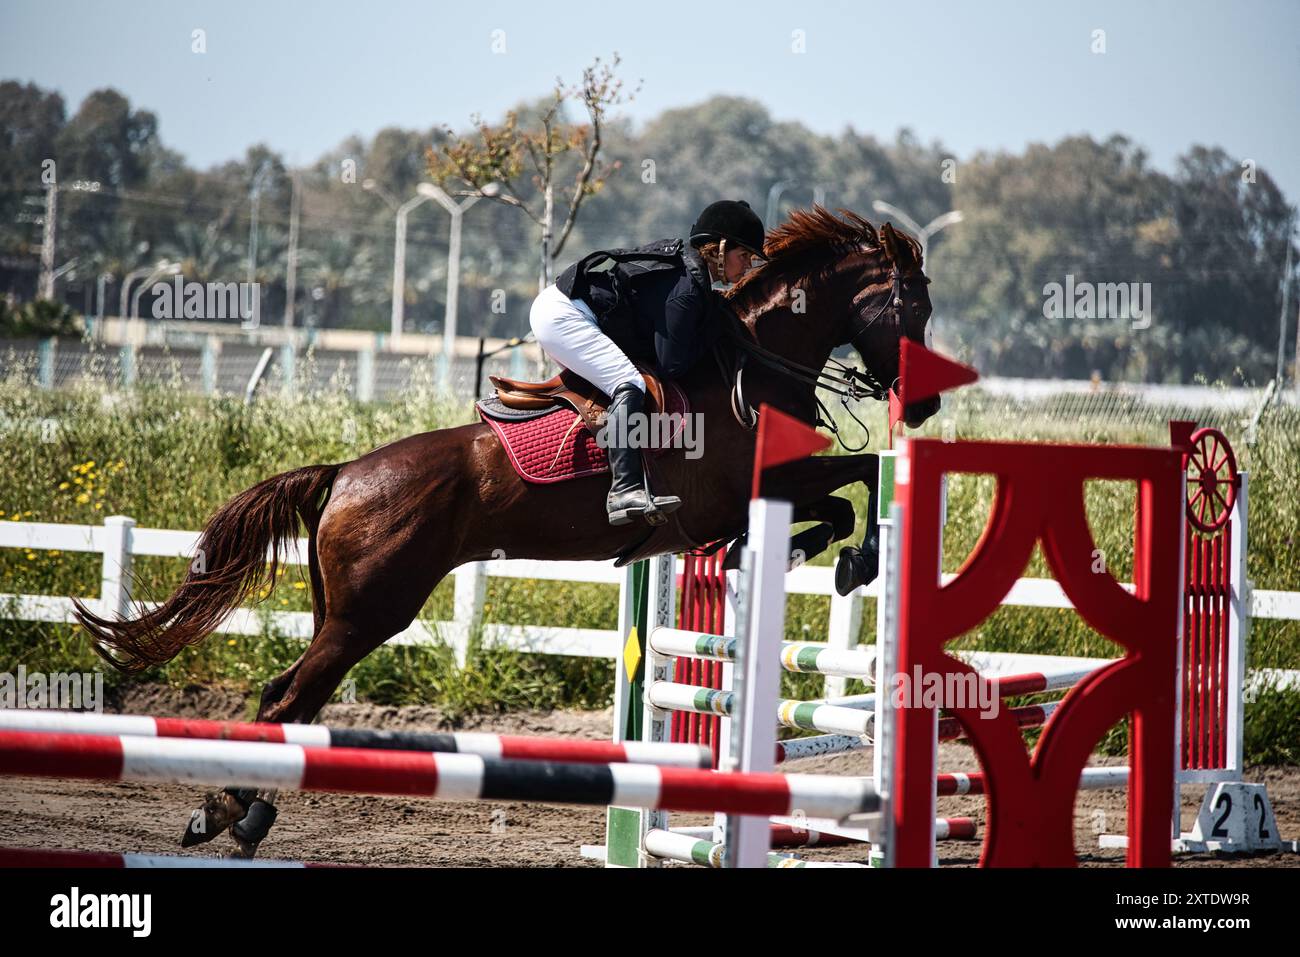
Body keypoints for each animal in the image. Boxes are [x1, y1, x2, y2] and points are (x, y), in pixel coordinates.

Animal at [72, 206, 940, 854]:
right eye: (917, 308)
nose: (927, 405)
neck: (747, 364)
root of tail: (345, 472)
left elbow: (847, 491)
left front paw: (811, 555)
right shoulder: (746, 489)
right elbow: (855, 484)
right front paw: (845, 558)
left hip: (341, 610)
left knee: (288, 695)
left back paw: (241, 812)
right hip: (370, 611)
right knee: (289, 698)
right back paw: (226, 813)